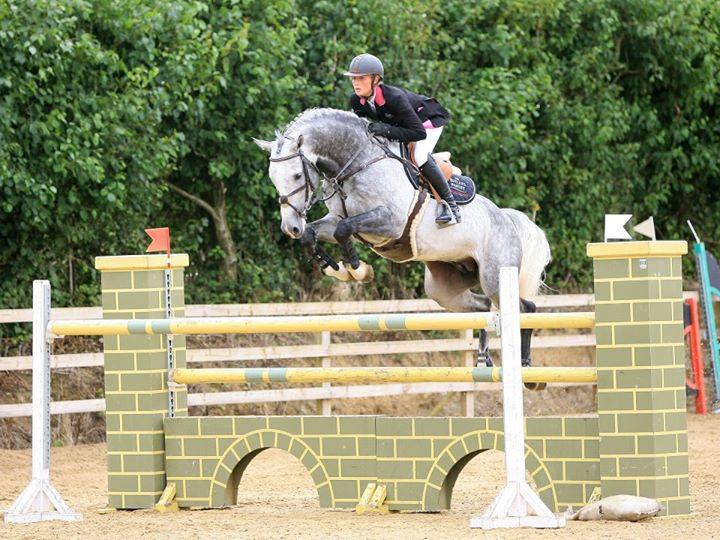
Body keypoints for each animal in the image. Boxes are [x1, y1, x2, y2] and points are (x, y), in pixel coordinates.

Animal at [254, 108, 551, 365]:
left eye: (296, 175)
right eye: (272, 177)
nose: (290, 227)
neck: (358, 163)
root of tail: (507, 219)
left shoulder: (390, 222)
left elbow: (344, 230)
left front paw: (356, 268)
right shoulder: (337, 220)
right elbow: (316, 233)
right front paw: (335, 268)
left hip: (495, 275)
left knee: (524, 308)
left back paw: (526, 366)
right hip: (445, 286)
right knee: (482, 307)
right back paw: (483, 358)